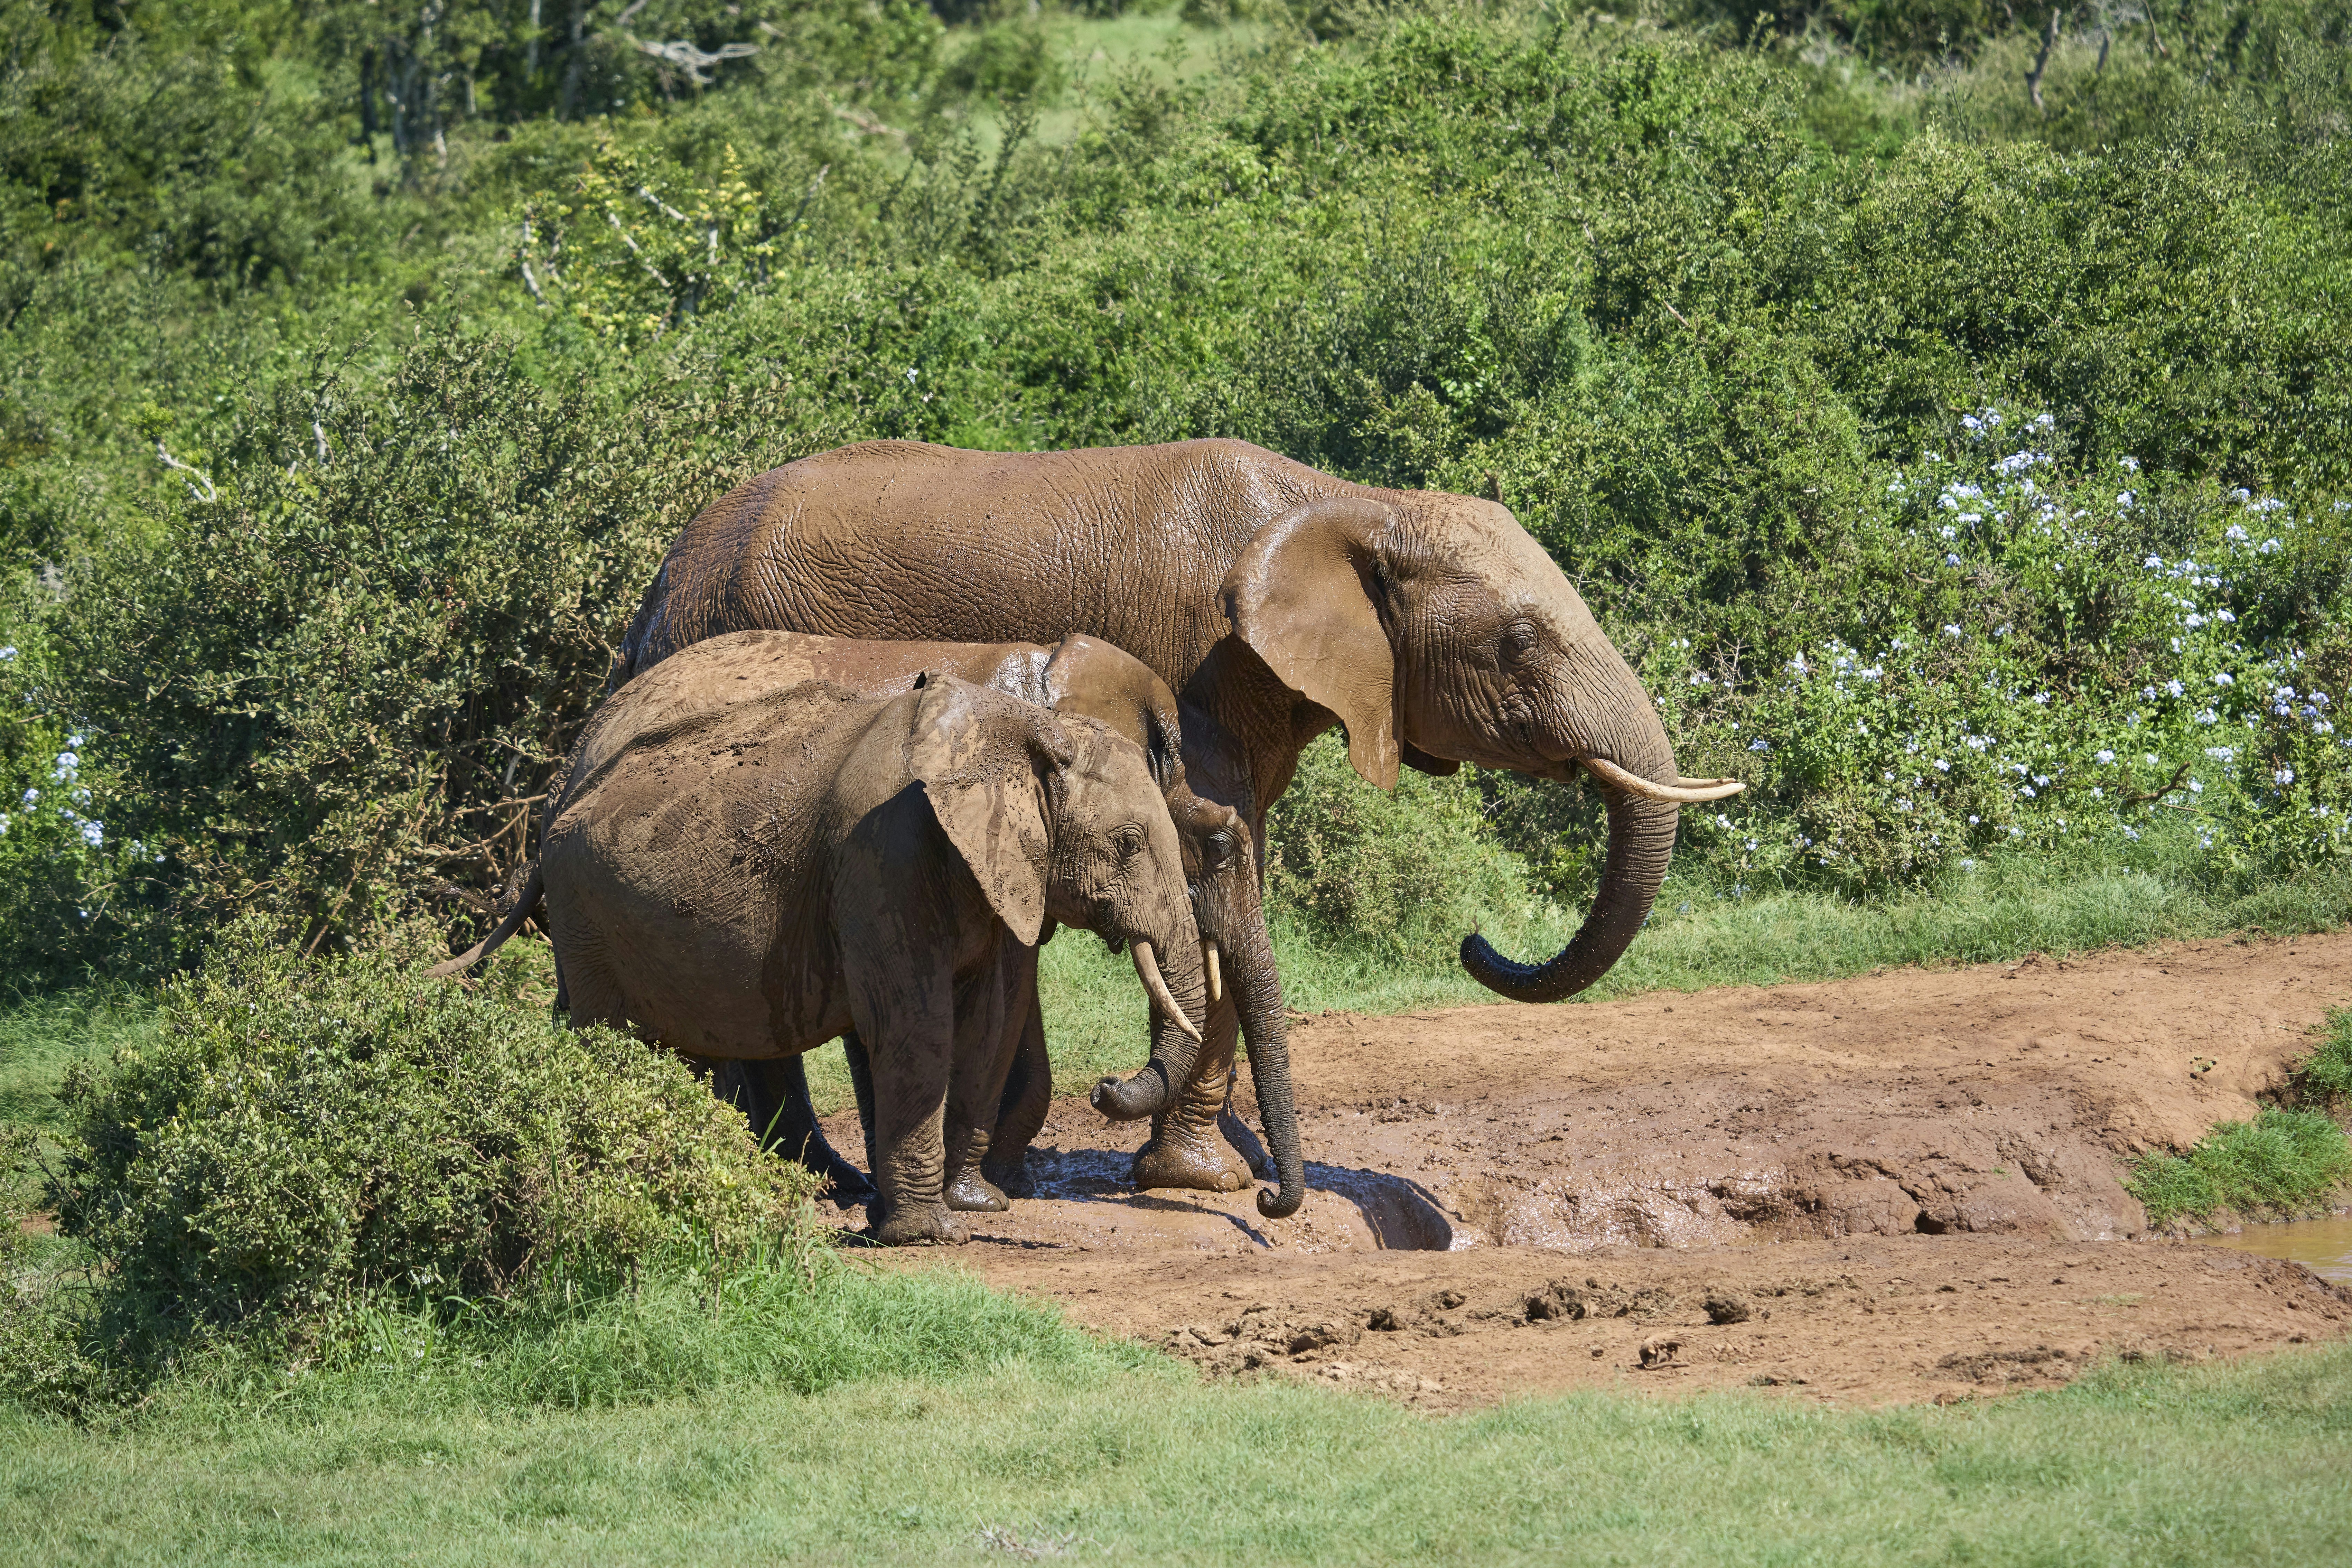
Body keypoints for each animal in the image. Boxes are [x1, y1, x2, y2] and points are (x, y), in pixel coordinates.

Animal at [506, 626, 1282, 1213]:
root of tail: (573, 760)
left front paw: (973, 1195)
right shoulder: (909, 848)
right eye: (1208, 846)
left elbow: (990, 1011)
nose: (1105, 1085)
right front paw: (967, 1195)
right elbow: (956, 1012)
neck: (1046, 700)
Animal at [610, 437, 1742, 1207]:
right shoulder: (1196, 668)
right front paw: (1199, 1183)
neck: (1350, 508)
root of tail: (661, 583)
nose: (1476, 942)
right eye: (1518, 643)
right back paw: (822, 1179)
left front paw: (1198, 1178)